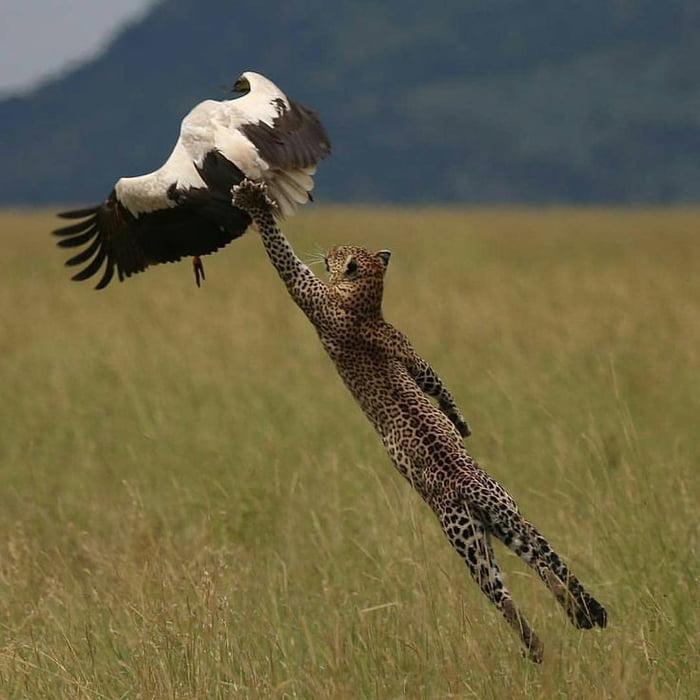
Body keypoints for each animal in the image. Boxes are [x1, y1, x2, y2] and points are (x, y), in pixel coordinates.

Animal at [231, 179, 607, 663]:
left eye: (338, 251)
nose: (328, 249)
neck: (366, 302)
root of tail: (472, 487)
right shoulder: (407, 349)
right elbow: (432, 378)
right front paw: (460, 424)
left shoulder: (309, 293)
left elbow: (283, 256)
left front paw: (255, 202)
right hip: (501, 522)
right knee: (541, 561)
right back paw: (576, 616)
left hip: (463, 536)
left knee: (507, 592)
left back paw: (540, 644)